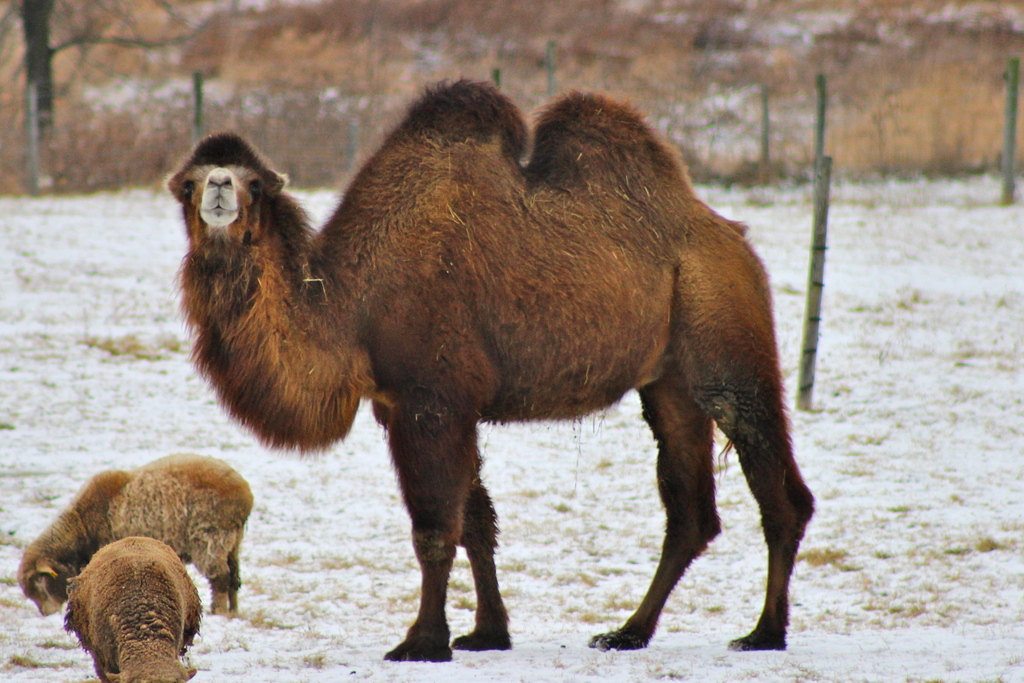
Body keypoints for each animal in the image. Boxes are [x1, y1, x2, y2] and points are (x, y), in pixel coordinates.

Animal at [167, 79, 814, 662]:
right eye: (191, 181)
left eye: (252, 181)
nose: (219, 188)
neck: (353, 301)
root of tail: (731, 239)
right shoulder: (417, 406)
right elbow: (476, 521)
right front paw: (487, 634)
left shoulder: (433, 399)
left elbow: (435, 528)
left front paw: (422, 642)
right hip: (667, 384)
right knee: (690, 511)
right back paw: (628, 632)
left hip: (725, 340)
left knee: (778, 485)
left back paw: (763, 632)